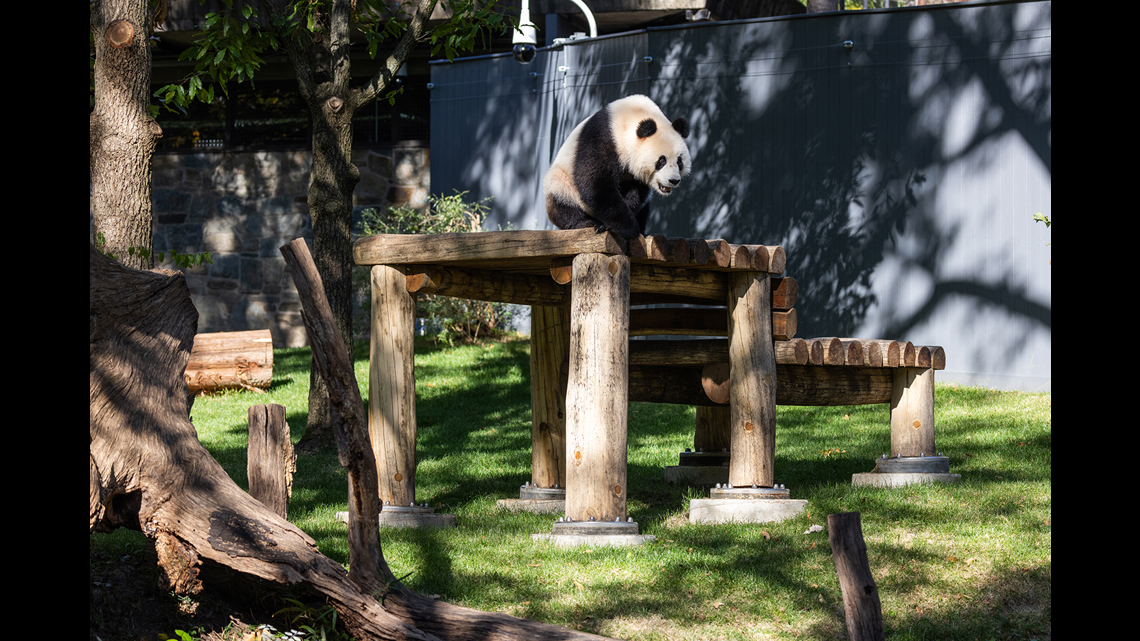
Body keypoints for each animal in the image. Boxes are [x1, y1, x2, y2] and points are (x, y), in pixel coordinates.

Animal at [543, 95, 691, 241]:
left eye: (679, 161)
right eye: (662, 160)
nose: (673, 180)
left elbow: (636, 193)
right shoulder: (601, 138)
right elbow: (594, 182)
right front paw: (627, 228)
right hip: (563, 181)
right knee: (562, 202)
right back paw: (584, 222)